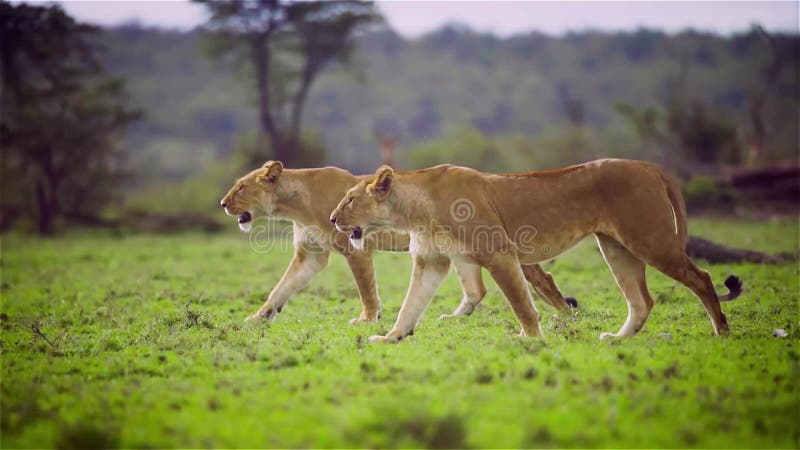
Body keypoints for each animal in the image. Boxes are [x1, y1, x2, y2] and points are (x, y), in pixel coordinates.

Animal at [219, 160, 577, 324]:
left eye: (241, 188)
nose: (222, 203)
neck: (295, 205)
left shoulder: (355, 246)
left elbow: (366, 289)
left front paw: (367, 320)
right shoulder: (311, 254)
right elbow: (281, 288)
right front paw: (257, 318)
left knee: (541, 276)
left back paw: (564, 314)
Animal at [329, 159, 742, 342]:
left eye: (349, 199)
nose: (332, 218)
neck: (416, 209)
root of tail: (653, 166)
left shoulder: (499, 253)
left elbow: (520, 301)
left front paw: (529, 338)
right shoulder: (430, 261)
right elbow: (410, 305)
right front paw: (390, 338)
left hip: (651, 239)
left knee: (702, 278)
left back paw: (721, 331)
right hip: (616, 248)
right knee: (642, 300)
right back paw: (617, 338)